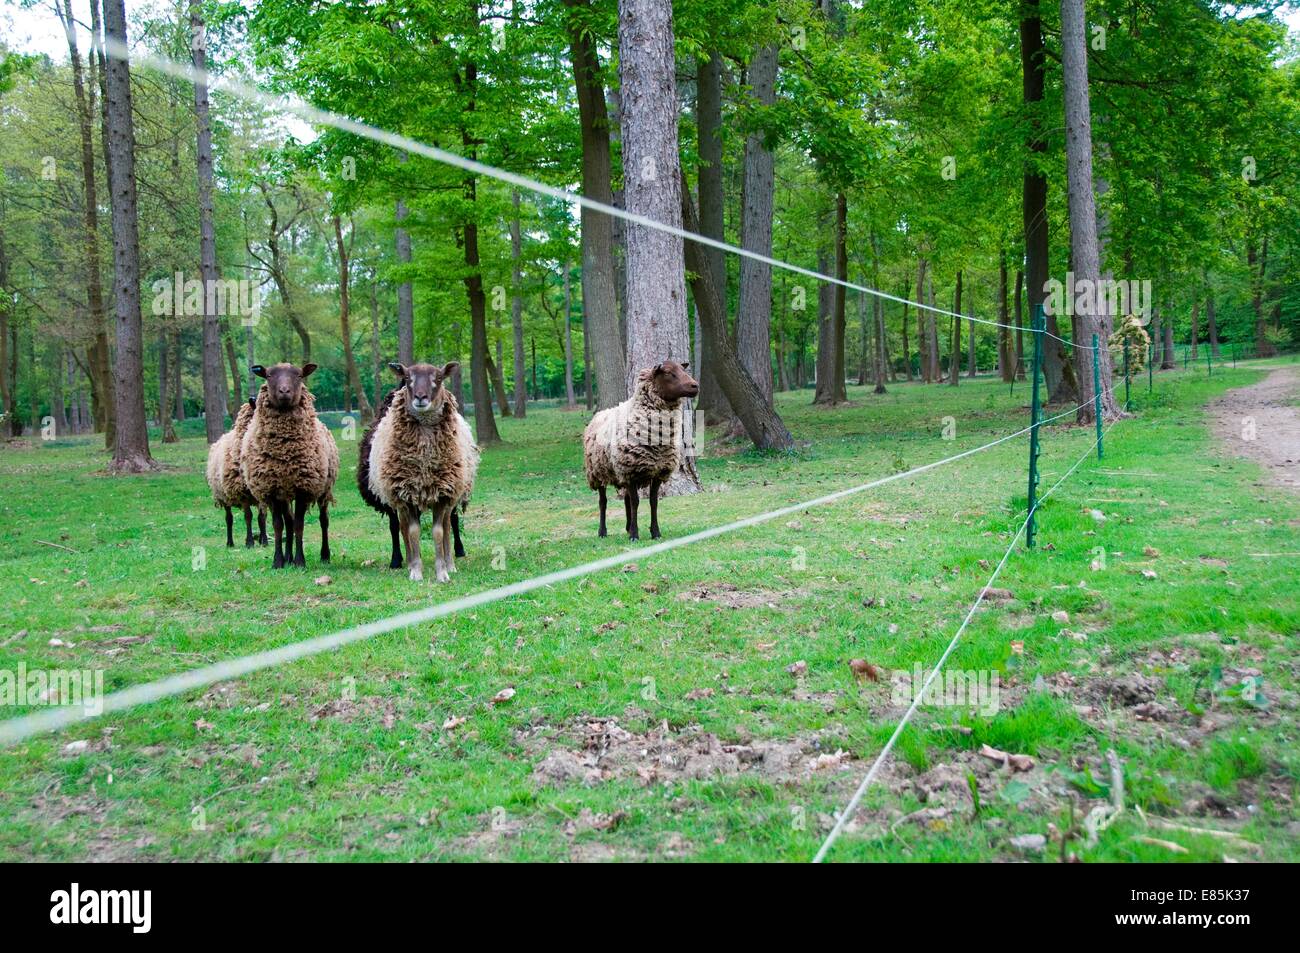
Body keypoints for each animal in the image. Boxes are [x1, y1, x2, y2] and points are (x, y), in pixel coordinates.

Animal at [205, 395, 268, 548]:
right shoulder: (242, 492)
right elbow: (248, 516)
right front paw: (250, 542)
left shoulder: (261, 492)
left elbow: (261, 517)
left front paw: (264, 541)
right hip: (223, 497)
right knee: (229, 518)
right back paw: (230, 542)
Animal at [240, 362, 339, 569]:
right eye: (269, 375)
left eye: (299, 375)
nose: (284, 391)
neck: (284, 452)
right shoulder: (272, 490)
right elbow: (279, 526)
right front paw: (278, 561)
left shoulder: (304, 488)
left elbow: (300, 525)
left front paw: (300, 561)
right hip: (285, 494)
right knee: (288, 521)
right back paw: (288, 557)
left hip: (323, 489)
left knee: (323, 520)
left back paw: (324, 555)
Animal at [364, 361, 479, 583]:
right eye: (408, 378)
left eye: (439, 378)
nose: (420, 397)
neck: (424, 466)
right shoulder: (407, 495)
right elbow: (413, 532)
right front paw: (416, 571)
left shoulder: (442, 494)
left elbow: (438, 532)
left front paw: (442, 572)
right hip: (399, 500)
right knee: (403, 528)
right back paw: (409, 562)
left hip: (451, 496)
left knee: (447, 525)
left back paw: (450, 563)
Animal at [583, 360, 699, 541]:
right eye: (668, 373)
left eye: (682, 369)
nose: (695, 386)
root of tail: (599, 414)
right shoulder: (630, 471)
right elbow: (636, 502)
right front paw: (635, 535)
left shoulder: (656, 471)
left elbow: (653, 502)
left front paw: (655, 532)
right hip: (597, 472)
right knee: (603, 502)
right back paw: (603, 532)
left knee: (626, 499)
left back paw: (627, 527)